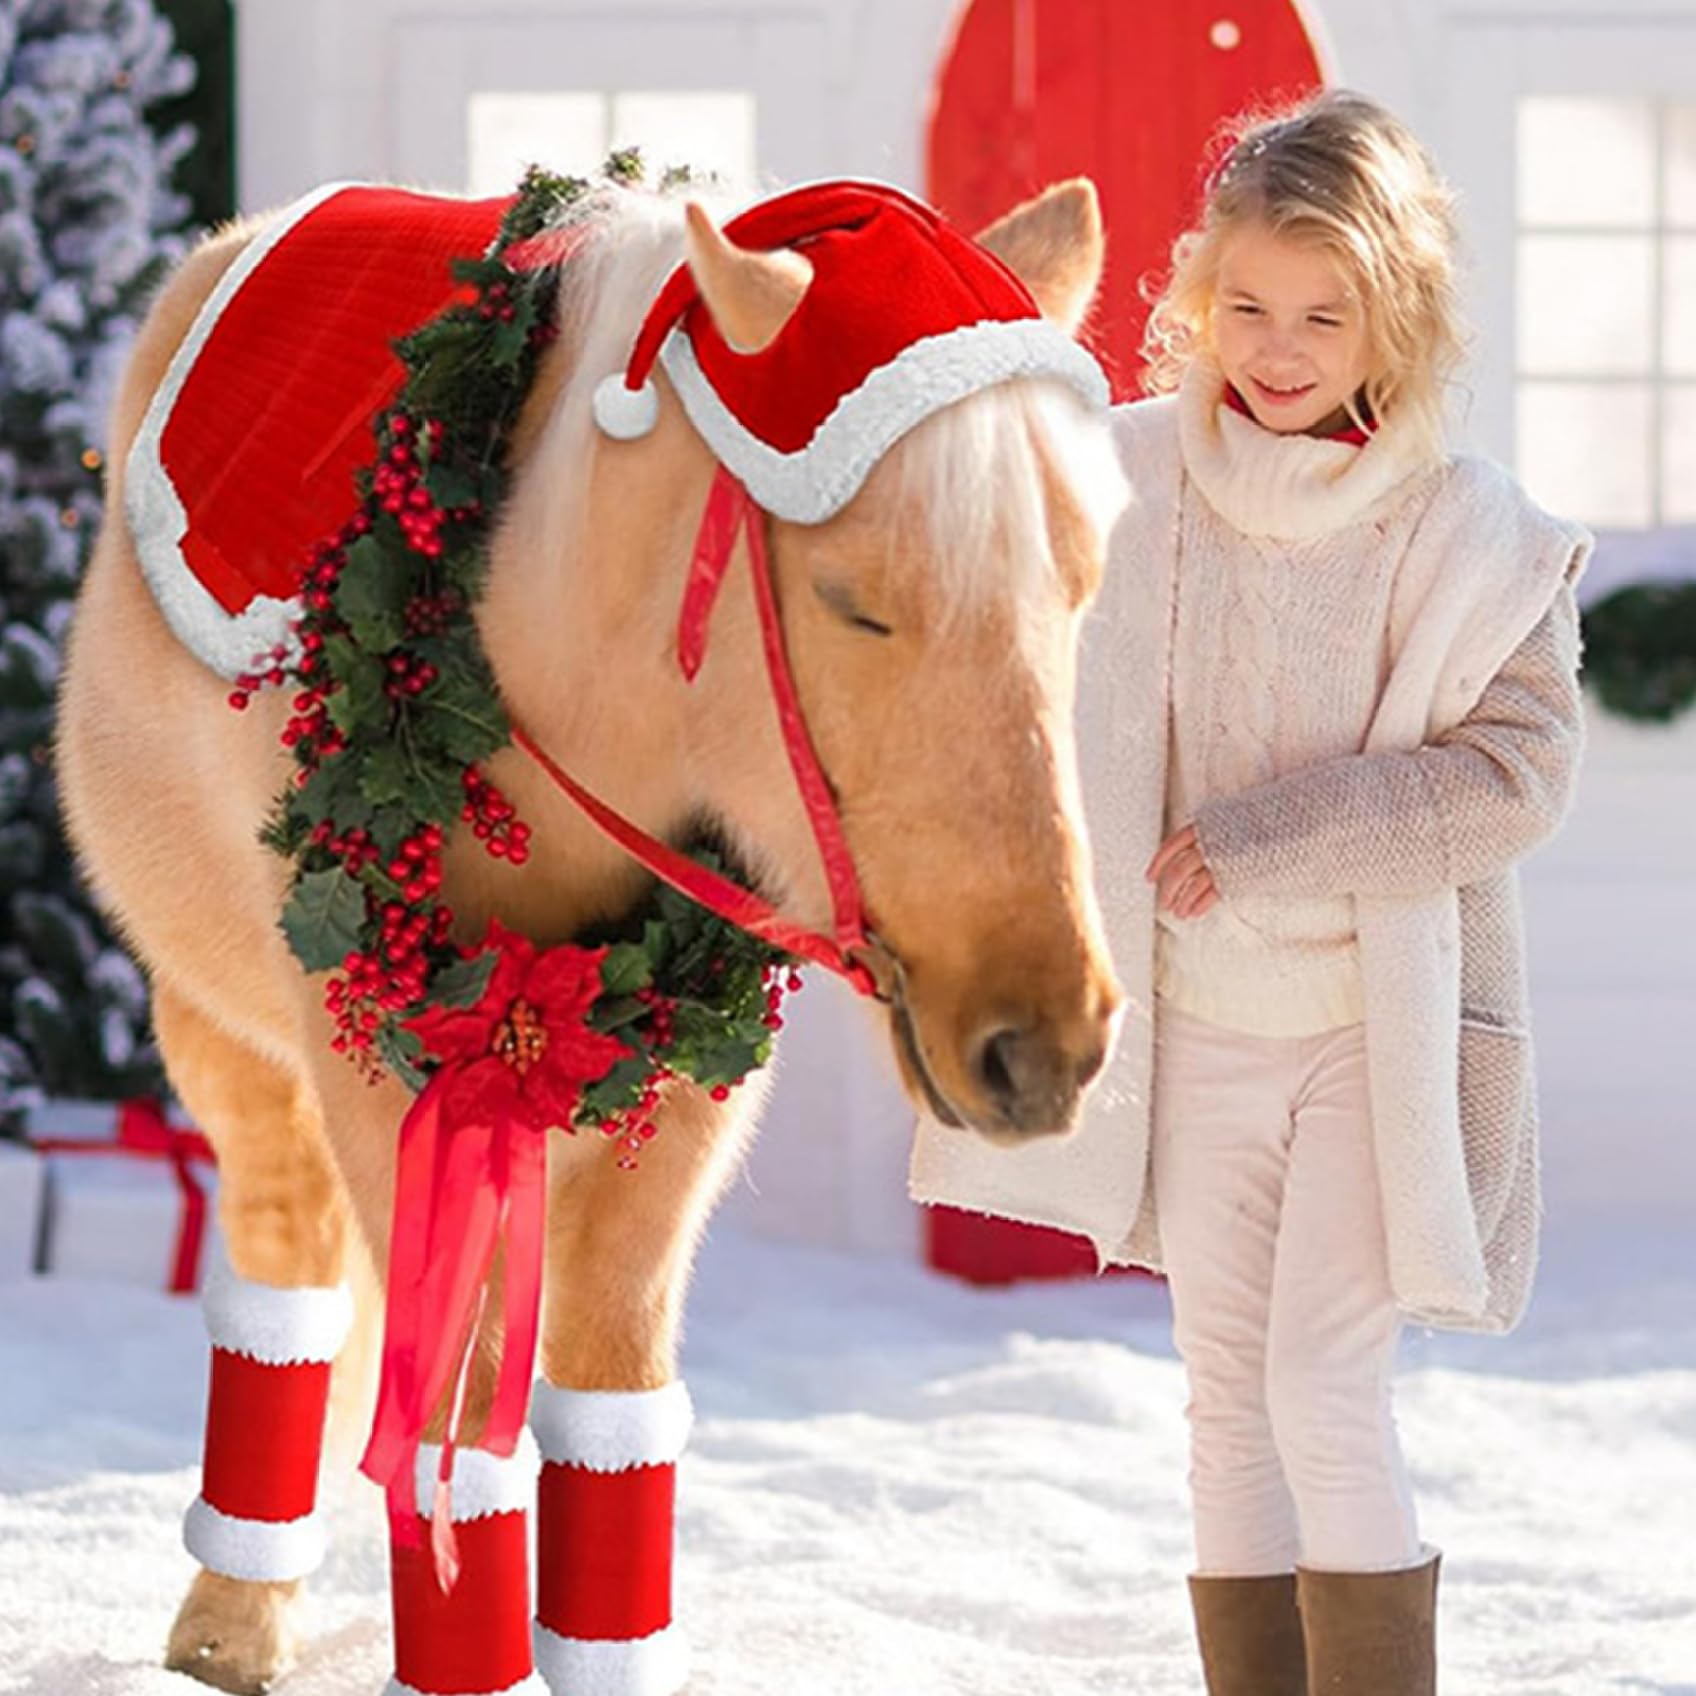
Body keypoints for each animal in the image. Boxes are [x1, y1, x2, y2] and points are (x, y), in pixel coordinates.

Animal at [56, 169, 1126, 1696]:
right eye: (854, 603)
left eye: (1079, 588)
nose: (1046, 1043)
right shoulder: (387, 1087)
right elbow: (450, 1428)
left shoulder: (680, 1101)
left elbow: (608, 1405)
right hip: (231, 1047)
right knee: (284, 1280)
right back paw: (234, 1613)